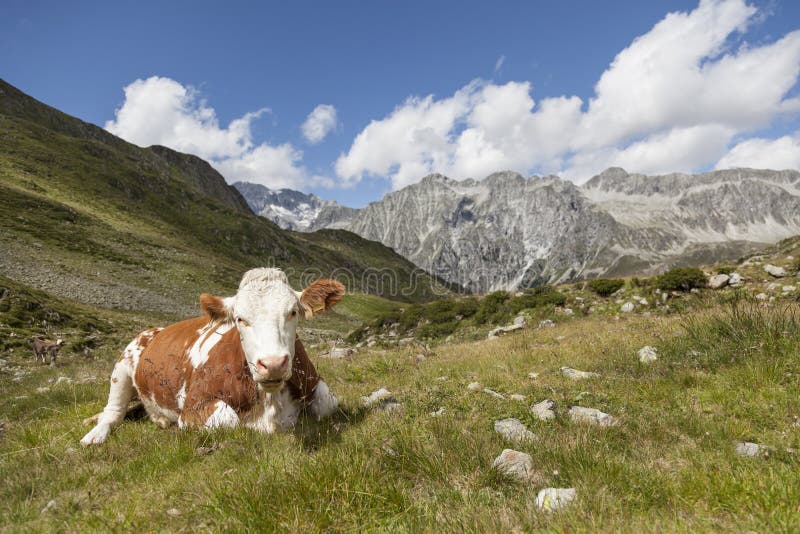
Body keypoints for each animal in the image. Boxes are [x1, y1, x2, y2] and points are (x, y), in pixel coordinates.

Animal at [81, 268, 344, 446]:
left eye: (292, 312)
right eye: (240, 318)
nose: (273, 364)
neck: (271, 403)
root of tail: (156, 330)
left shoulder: (315, 384)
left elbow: (327, 403)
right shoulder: (194, 404)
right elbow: (229, 419)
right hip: (122, 366)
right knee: (113, 413)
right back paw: (94, 436)